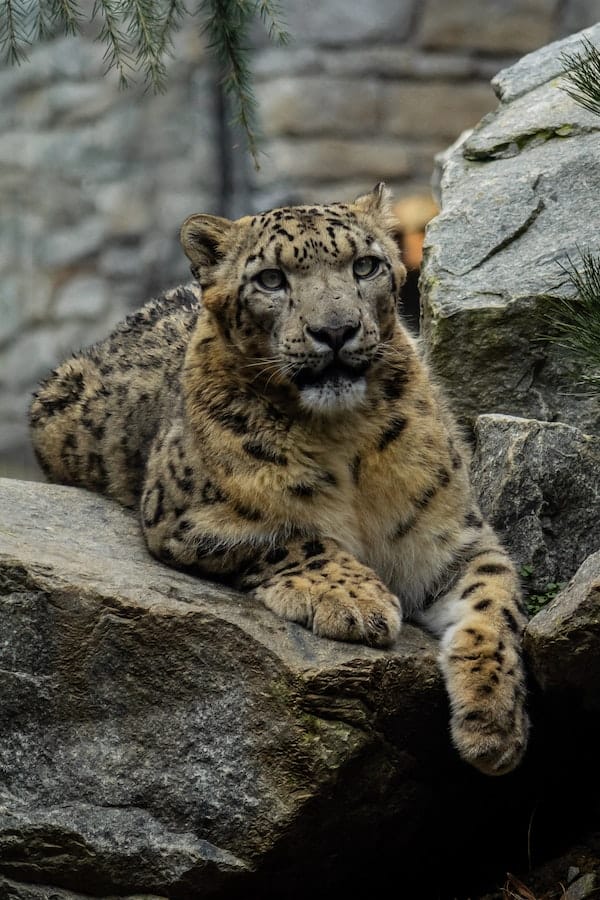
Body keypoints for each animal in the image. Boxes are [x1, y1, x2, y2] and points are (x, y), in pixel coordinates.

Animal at [29, 183, 529, 776]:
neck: (345, 439)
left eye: (365, 266)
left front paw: (494, 725)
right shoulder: (185, 514)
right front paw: (357, 602)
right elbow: (293, 535)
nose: (335, 331)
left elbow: (494, 606)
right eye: (270, 279)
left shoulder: (451, 537)